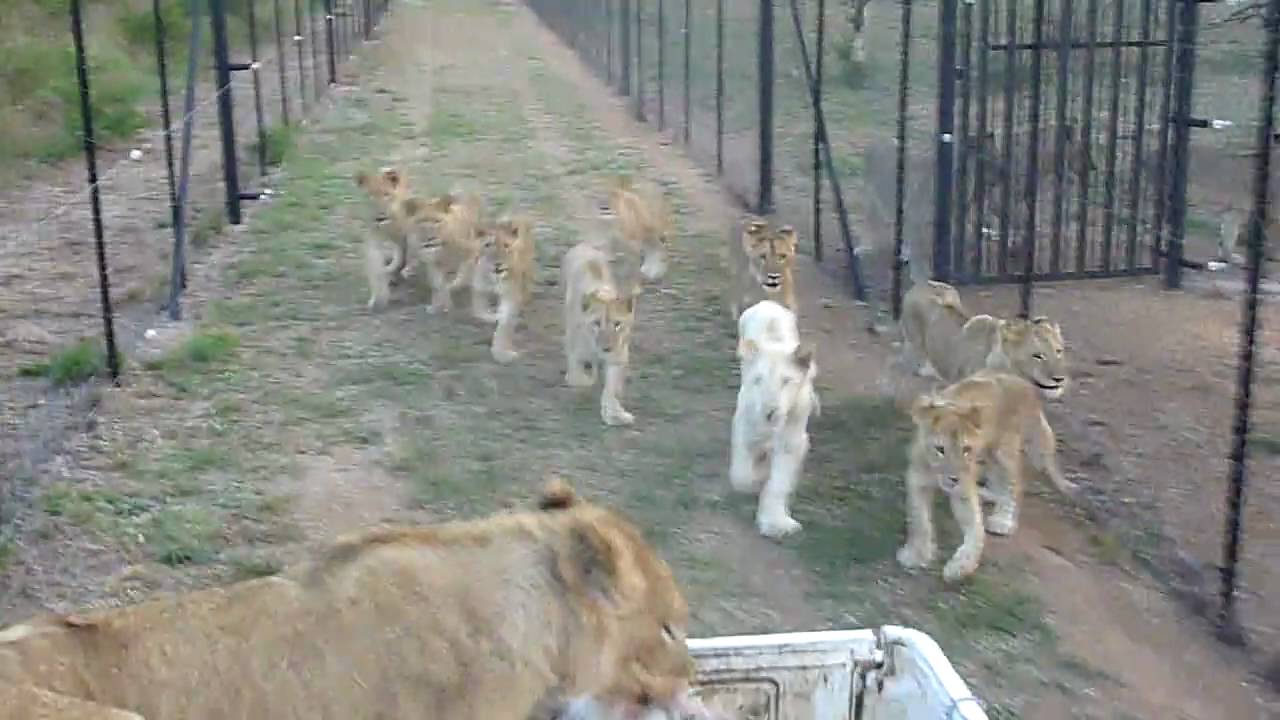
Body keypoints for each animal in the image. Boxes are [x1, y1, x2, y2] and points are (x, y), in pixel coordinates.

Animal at [472, 216, 537, 364]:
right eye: (488, 245)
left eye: (506, 246)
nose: (498, 264)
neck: (495, 278)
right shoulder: (479, 289)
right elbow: (479, 311)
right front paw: (492, 317)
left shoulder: (511, 296)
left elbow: (505, 326)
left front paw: (501, 353)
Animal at [561, 241, 643, 427]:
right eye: (596, 323)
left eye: (618, 324)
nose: (606, 348)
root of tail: (584, 244)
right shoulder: (575, 354)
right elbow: (579, 379)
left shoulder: (617, 357)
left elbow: (611, 389)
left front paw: (614, 414)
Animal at [729, 300, 820, 539]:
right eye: (759, 380)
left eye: (786, 381)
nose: (770, 412)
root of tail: (767, 302)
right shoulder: (744, 428)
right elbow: (742, 477)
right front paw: (757, 478)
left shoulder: (791, 443)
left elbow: (778, 483)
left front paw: (776, 523)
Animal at [896, 369, 1078, 582]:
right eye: (940, 449)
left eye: (966, 449)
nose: (954, 479)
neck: (935, 471)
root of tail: (1020, 381)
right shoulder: (917, 481)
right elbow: (919, 521)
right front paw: (917, 554)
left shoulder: (963, 489)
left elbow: (975, 527)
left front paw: (961, 566)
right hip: (990, 456)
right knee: (999, 484)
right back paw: (988, 495)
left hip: (1004, 451)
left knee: (1014, 485)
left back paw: (1003, 520)